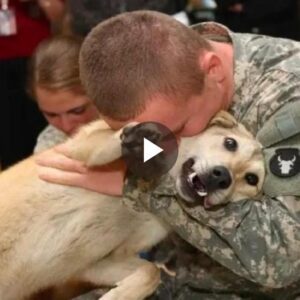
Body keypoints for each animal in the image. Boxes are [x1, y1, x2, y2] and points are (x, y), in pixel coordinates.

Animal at [0, 110, 264, 300]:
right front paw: (141, 137)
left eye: (252, 179)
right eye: (230, 143)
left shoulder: (97, 263)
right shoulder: (77, 148)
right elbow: (106, 143)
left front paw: (118, 295)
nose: (222, 178)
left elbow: (151, 272)